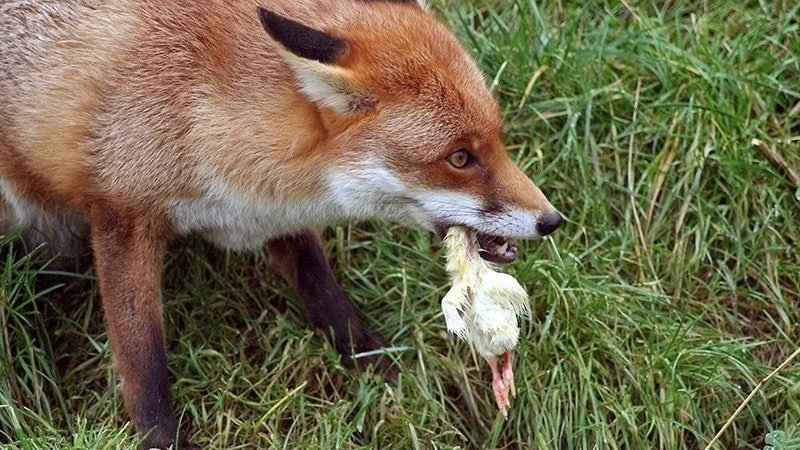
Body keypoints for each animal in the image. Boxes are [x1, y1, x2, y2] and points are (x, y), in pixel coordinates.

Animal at [0, 0, 563, 448]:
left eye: (498, 139)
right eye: (460, 157)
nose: (551, 220)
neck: (192, 111)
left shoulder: (272, 209)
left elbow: (325, 293)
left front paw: (384, 371)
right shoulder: (122, 215)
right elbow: (144, 360)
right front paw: (163, 440)